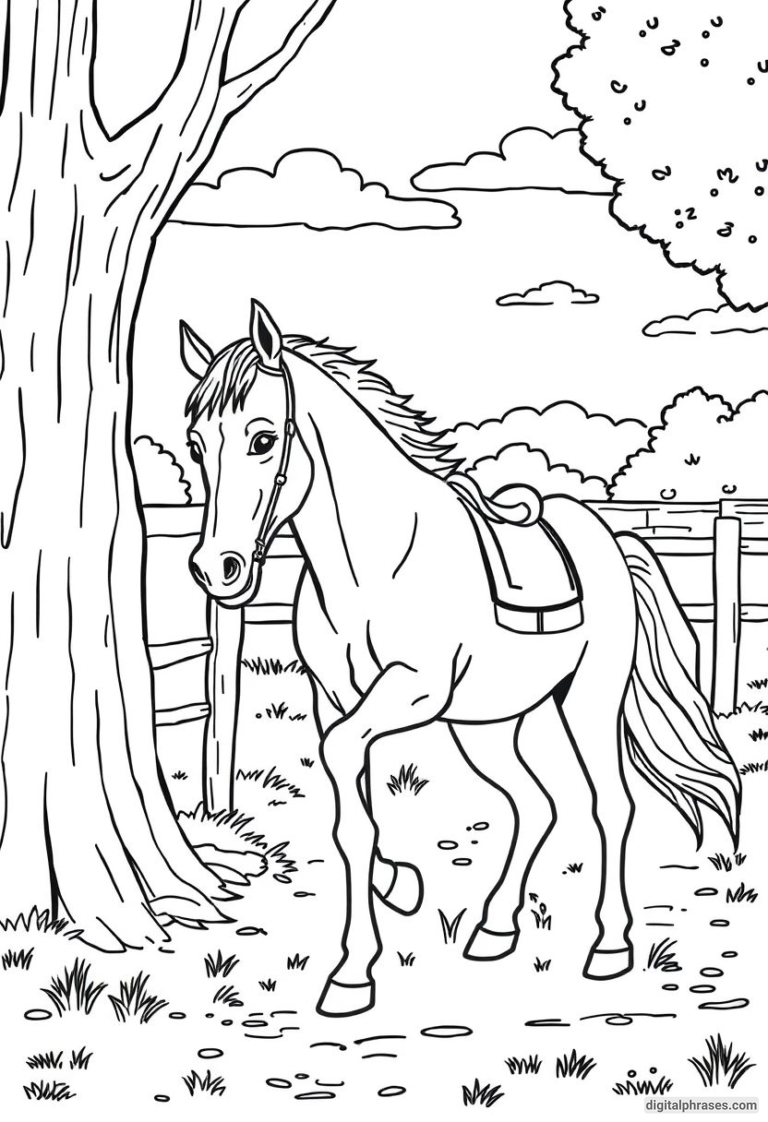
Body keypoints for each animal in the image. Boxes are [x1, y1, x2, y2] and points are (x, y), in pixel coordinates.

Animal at [179, 298, 740, 1018]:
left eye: (261, 439)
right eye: (196, 444)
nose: (215, 569)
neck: (373, 562)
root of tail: (611, 538)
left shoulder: (413, 691)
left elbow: (344, 768)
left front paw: (352, 972)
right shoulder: (335, 699)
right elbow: (353, 810)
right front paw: (394, 889)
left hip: (587, 704)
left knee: (611, 806)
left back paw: (610, 946)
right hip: (490, 724)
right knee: (536, 805)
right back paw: (495, 928)